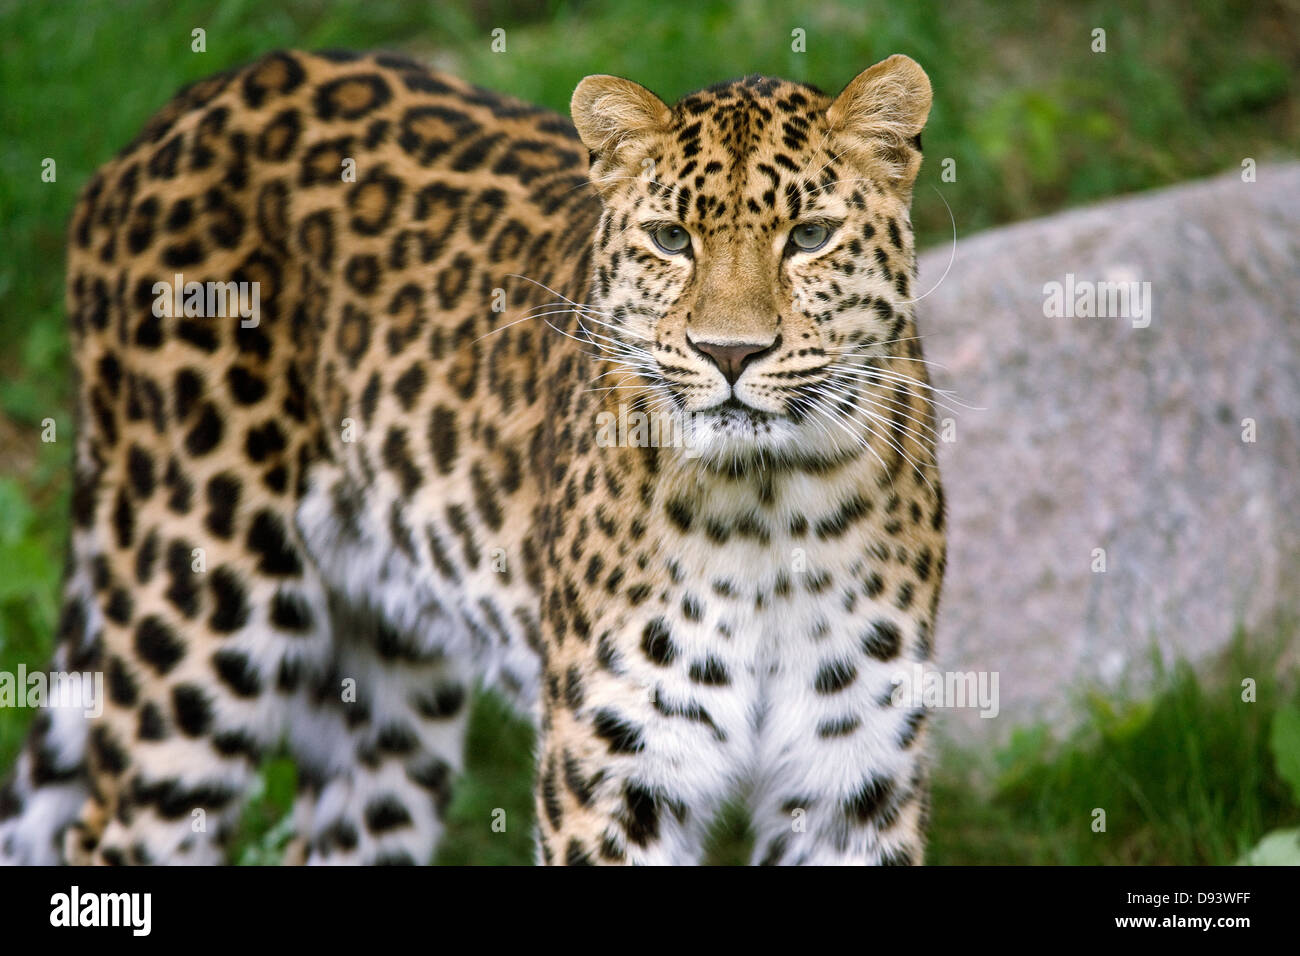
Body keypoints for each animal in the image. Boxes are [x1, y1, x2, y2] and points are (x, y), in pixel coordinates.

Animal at [0, 47, 944, 865]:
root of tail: (169, 118)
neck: (770, 508)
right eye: (672, 239)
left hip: (389, 698)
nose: (731, 352)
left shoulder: (853, 784)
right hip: (197, 634)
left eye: (811, 235)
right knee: (110, 827)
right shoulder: (615, 778)